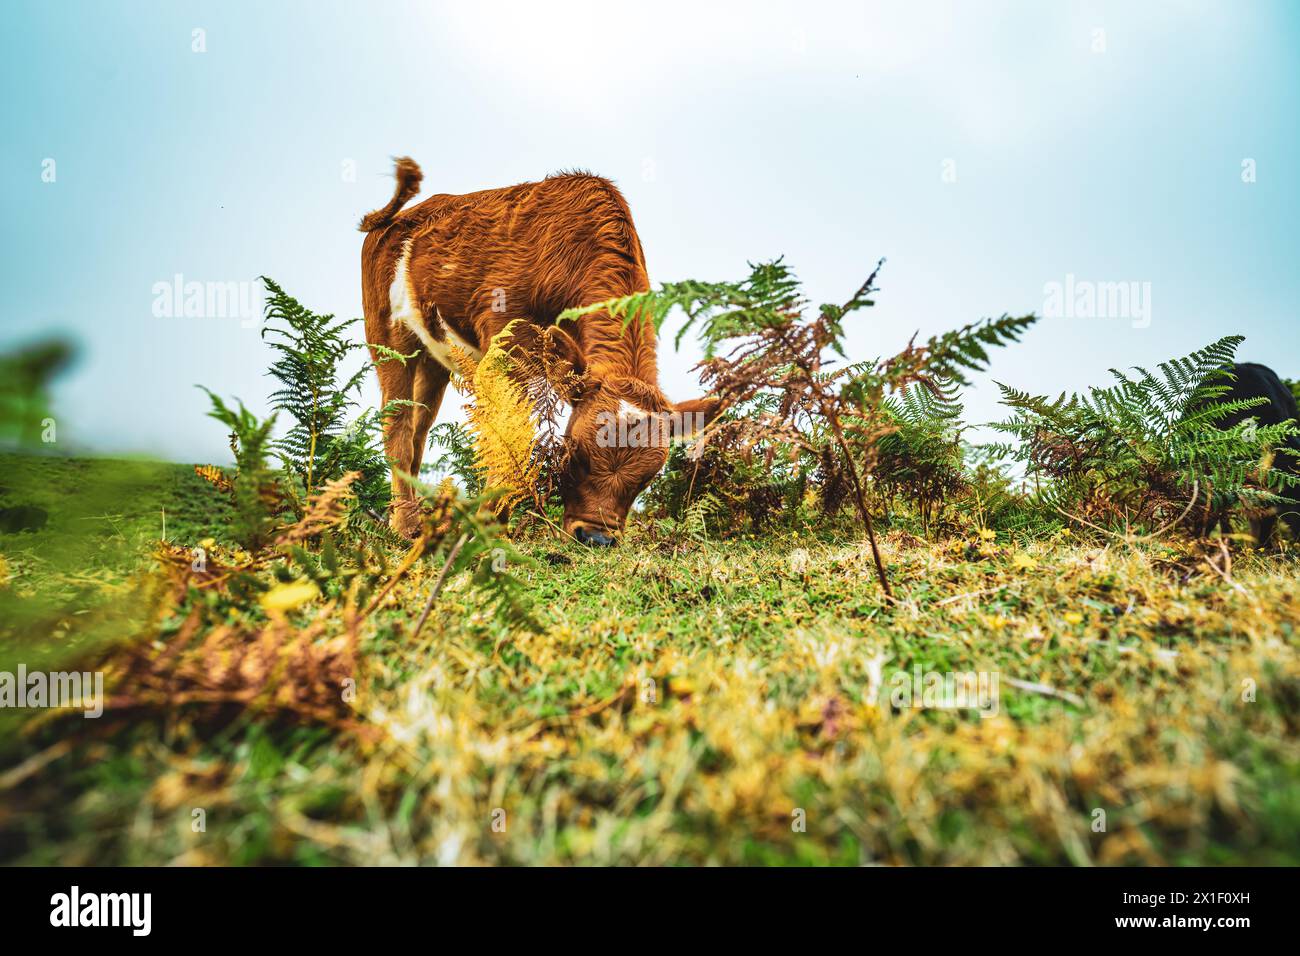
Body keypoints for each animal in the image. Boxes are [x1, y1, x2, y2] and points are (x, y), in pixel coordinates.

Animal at [358, 158, 720, 545]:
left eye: (648, 477)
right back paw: (404, 524)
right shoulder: (501, 356)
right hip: (387, 336)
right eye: (577, 455)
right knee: (397, 426)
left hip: (434, 357)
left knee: (418, 428)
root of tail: (399, 218)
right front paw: (486, 528)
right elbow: (509, 438)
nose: (597, 538)